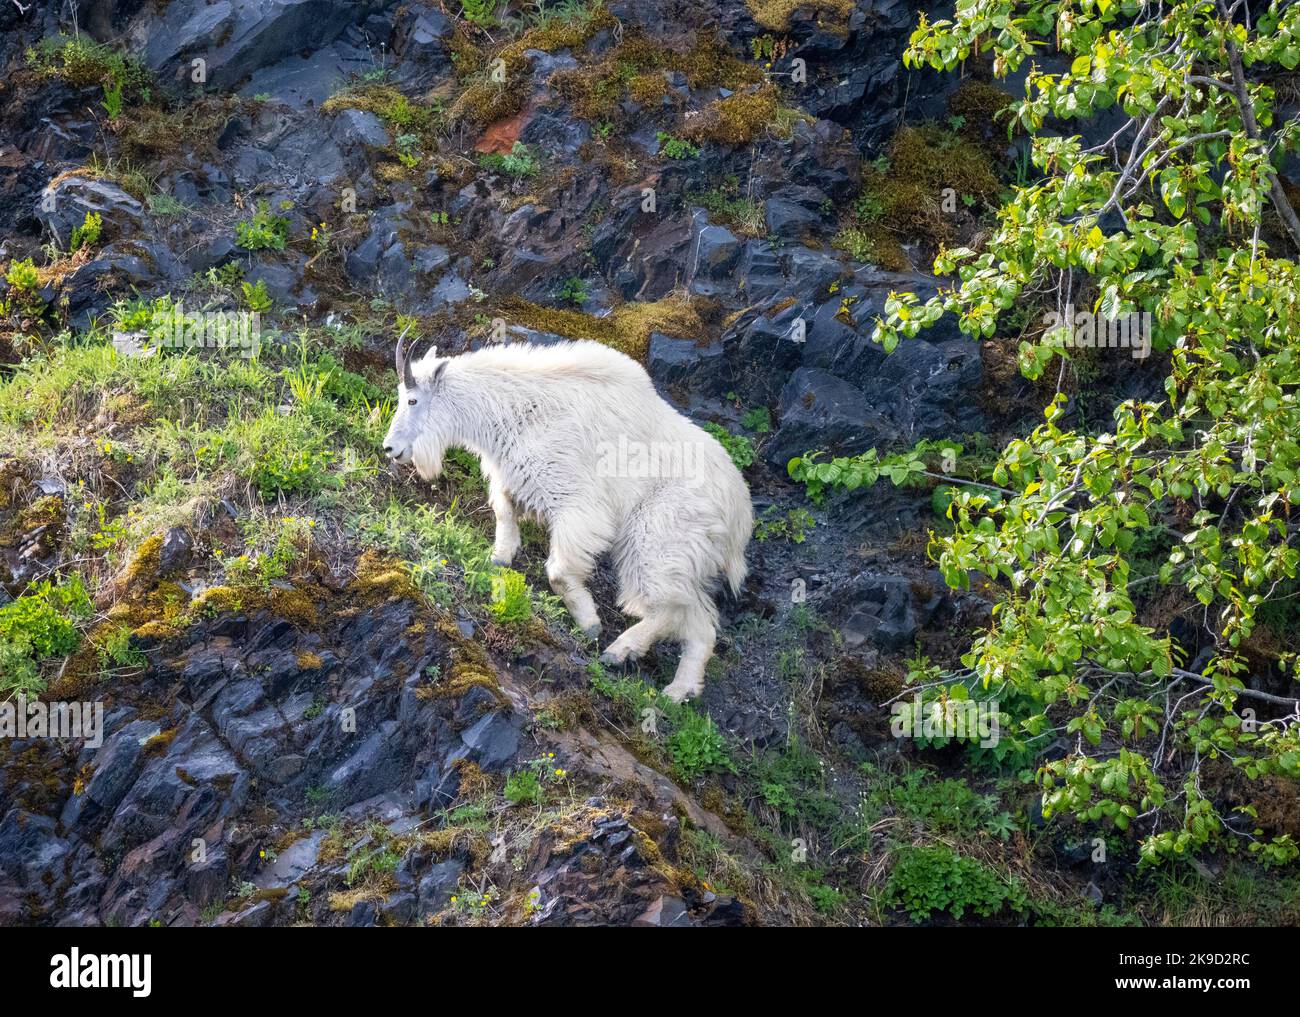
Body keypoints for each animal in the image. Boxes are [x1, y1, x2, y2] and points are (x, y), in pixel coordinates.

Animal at [383, 337, 752, 702]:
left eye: (412, 399)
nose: (390, 448)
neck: (516, 411)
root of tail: (740, 514)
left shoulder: (577, 503)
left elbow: (559, 572)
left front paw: (589, 624)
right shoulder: (514, 477)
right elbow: (504, 509)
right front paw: (500, 556)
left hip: (656, 540)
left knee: (670, 609)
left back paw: (619, 650)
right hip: (685, 559)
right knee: (700, 624)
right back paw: (678, 690)